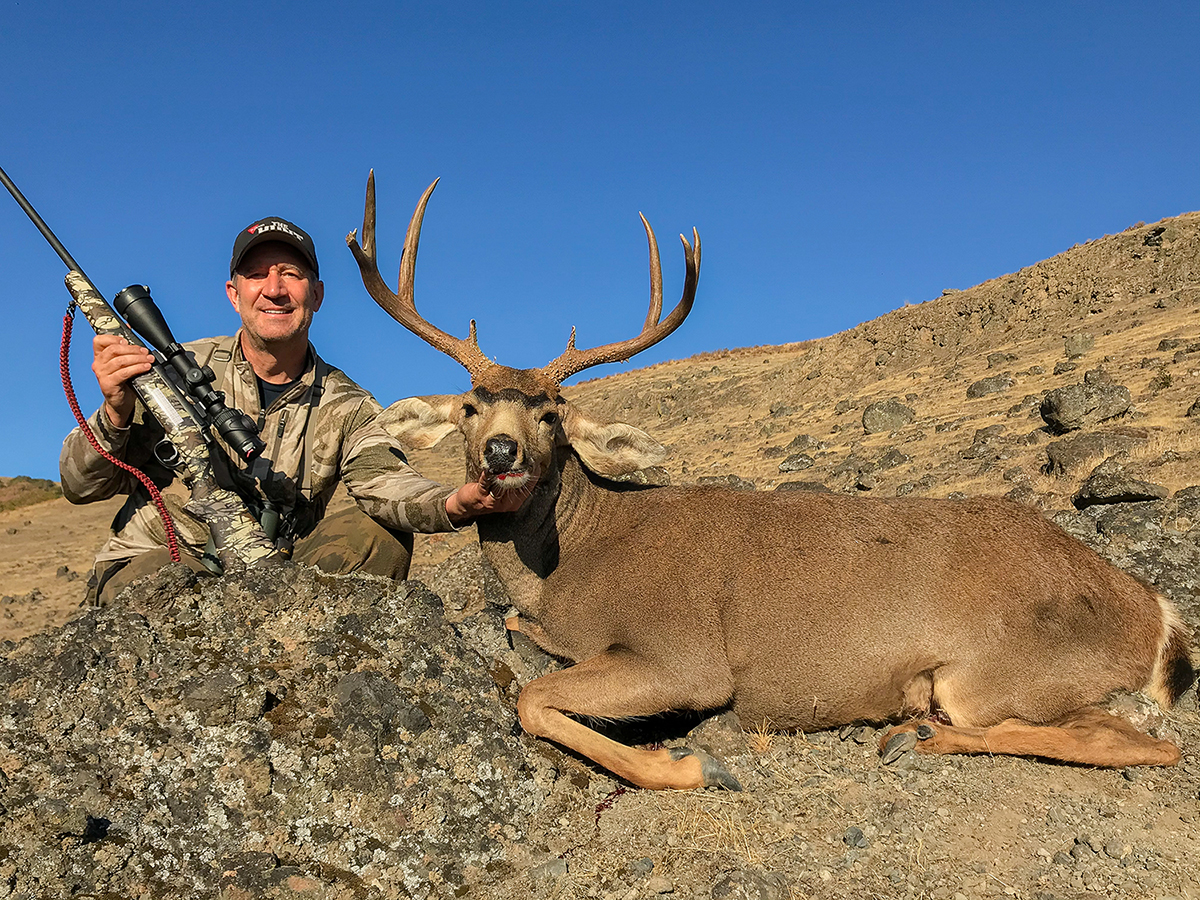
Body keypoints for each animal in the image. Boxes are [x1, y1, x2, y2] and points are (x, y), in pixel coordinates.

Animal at [347, 173, 1196, 791]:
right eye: (468, 407)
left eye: (553, 414)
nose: (501, 453)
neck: (572, 565)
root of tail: (1152, 611)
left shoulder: (684, 655)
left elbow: (531, 699)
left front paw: (687, 765)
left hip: (1000, 671)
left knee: (1142, 741)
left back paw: (915, 732)